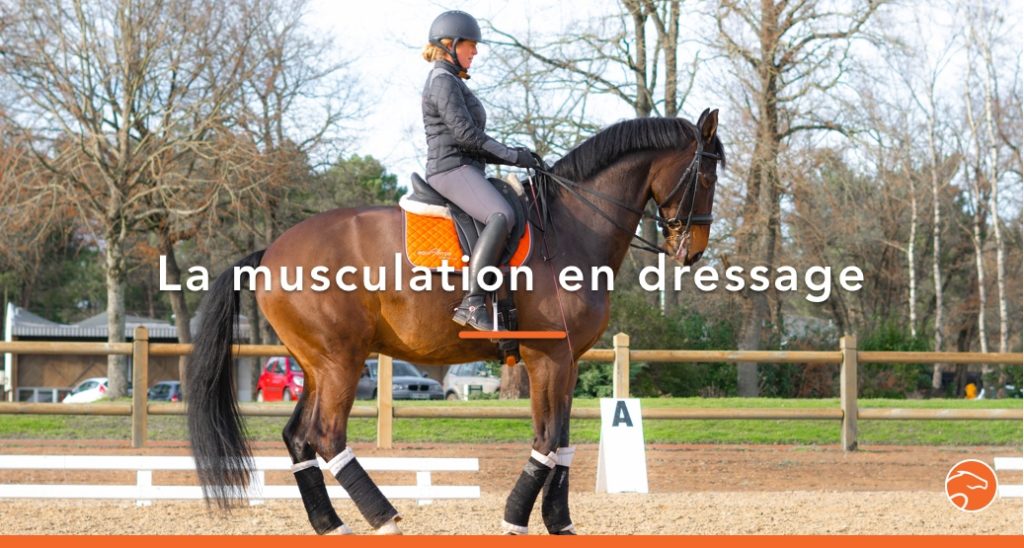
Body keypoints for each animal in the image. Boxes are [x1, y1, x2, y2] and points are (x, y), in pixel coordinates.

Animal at [186, 109, 725, 535]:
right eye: (707, 177)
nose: (693, 251)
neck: (571, 228)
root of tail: (270, 253)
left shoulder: (568, 360)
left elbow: (563, 443)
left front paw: (559, 522)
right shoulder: (548, 357)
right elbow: (547, 441)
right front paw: (514, 519)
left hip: (317, 366)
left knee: (299, 437)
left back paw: (331, 525)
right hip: (340, 362)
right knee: (326, 436)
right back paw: (383, 518)